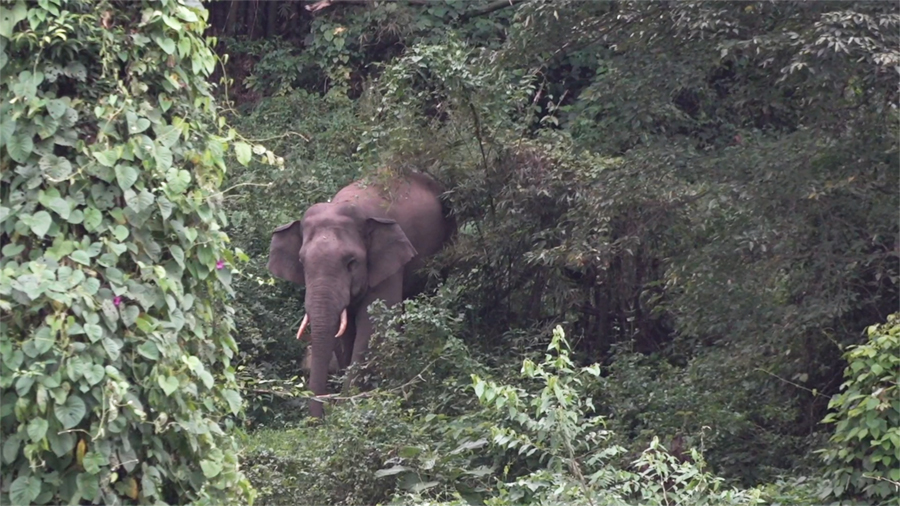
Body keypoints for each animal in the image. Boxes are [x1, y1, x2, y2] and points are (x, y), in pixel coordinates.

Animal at [267, 172, 455, 418]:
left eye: (351, 262)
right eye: (301, 261)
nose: (315, 420)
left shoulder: (388, 264)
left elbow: (371, 325)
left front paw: (348, 407)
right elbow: (344, 332)